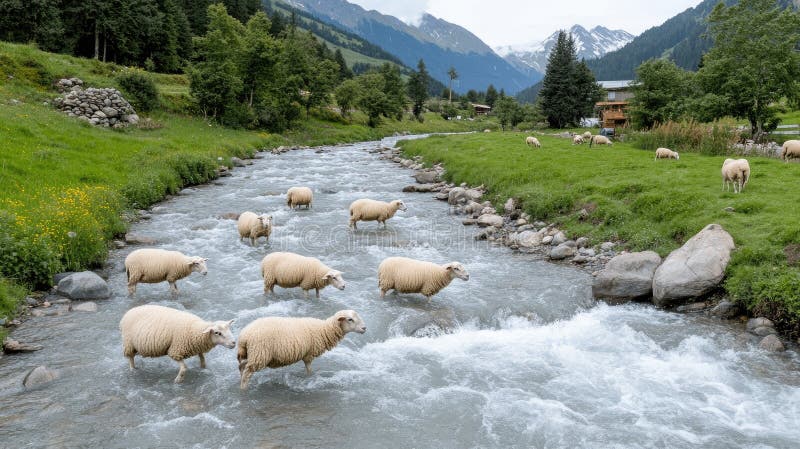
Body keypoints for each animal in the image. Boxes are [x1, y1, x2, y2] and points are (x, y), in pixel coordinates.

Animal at [237, 310, 367, 390]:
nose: (364, 328)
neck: (324, 329)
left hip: (250, 354)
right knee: (247, 373)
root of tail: (244, 336)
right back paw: (244, 388)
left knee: (242, 367)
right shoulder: (308, 355)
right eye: (350, 319)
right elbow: (309, 369)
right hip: (260, 354)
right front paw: (310, 377)